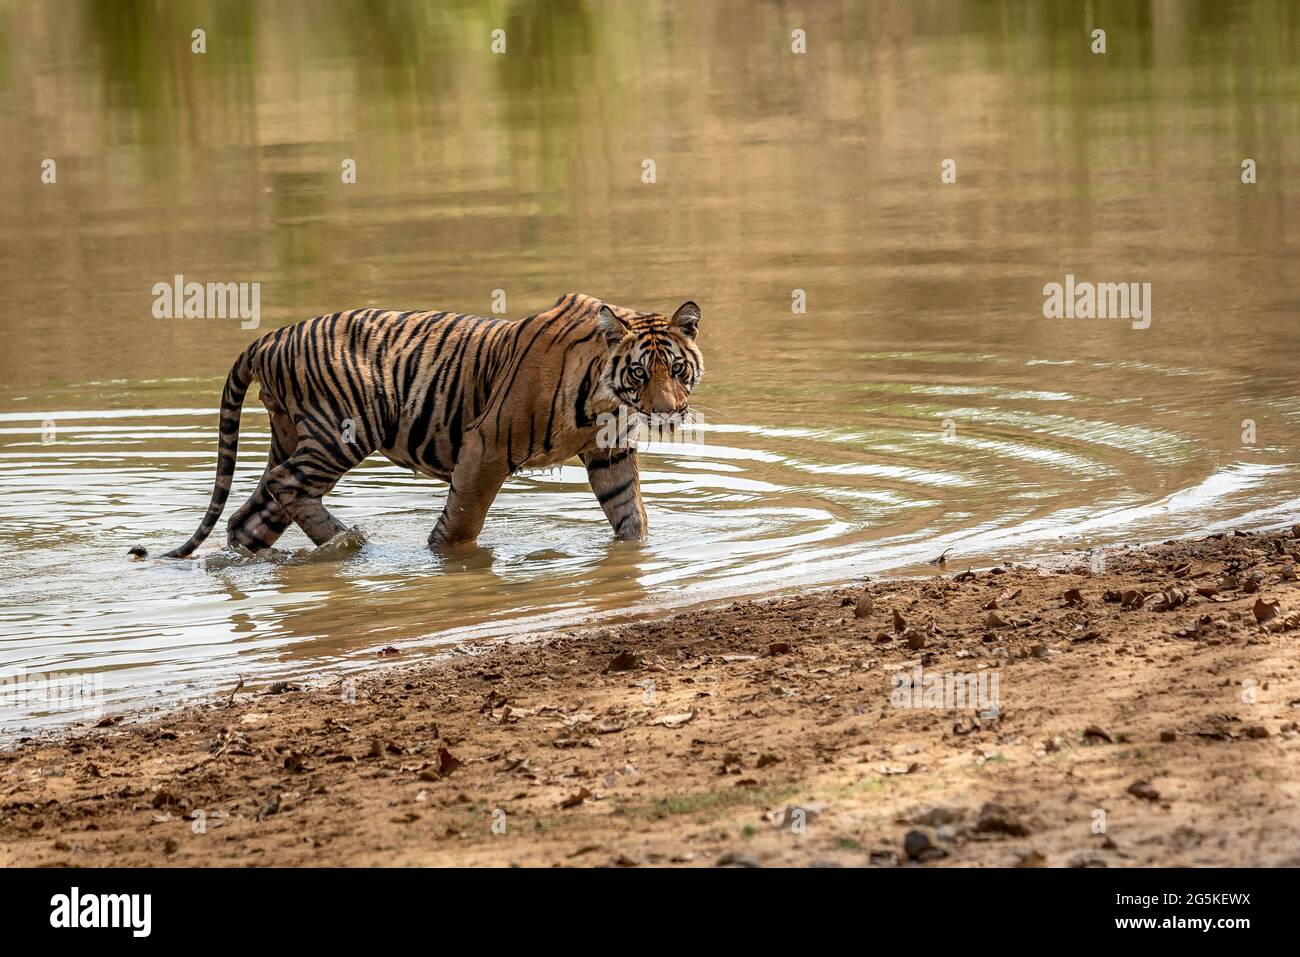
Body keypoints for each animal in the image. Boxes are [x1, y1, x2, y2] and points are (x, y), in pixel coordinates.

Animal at [140, 293, 703, 559]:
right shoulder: (486, 445)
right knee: (285, 486)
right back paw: (350, 543)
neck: (604, 399)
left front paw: (635, 553)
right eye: (639, 372)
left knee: (249, 516)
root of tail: (269, 337)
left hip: (290, 436)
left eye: (676, 369)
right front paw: (442, 556)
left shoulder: (609, 454)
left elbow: (630, 513)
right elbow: (462, 520)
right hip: (340, 432)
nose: (669, 411)